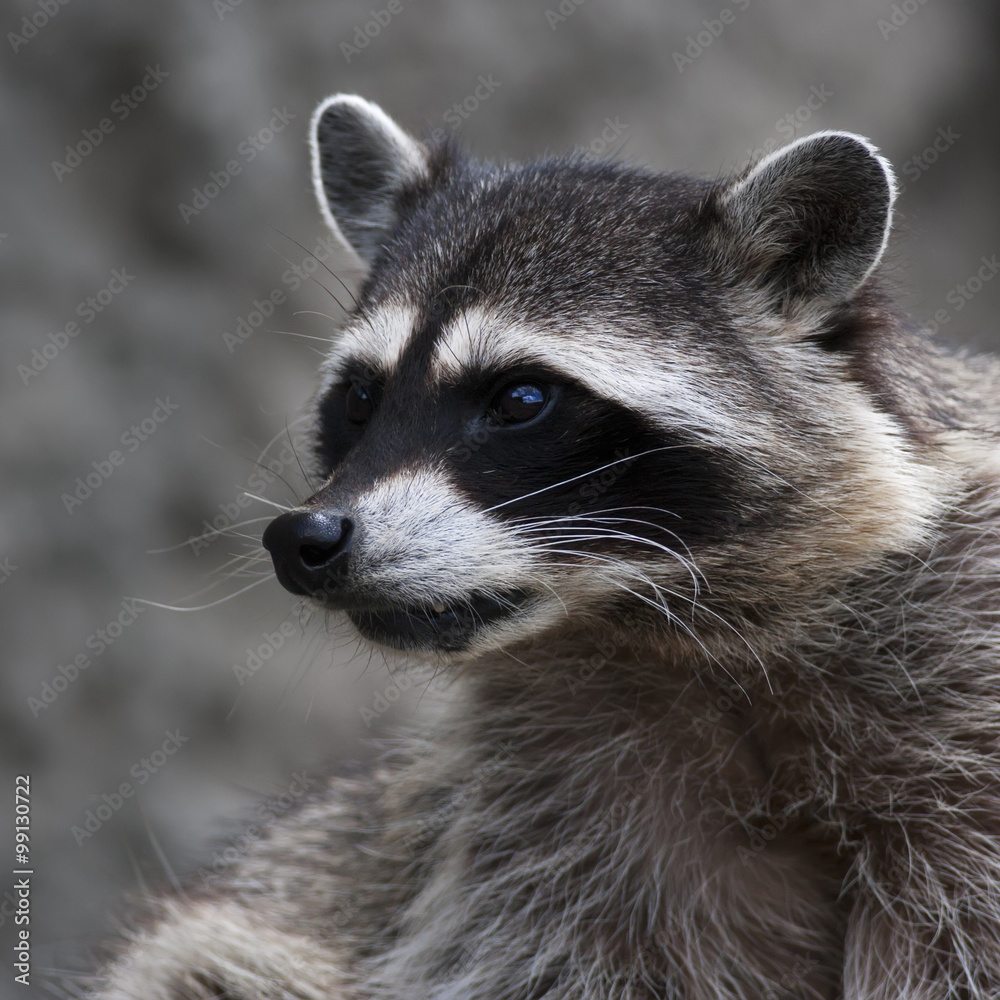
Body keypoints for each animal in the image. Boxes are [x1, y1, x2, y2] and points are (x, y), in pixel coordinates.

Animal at [92, 96, 1000, 999]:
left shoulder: (961, 715)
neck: (682, 628)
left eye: (522, 399)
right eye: (360, 398)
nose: (303, 539)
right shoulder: (549, 825)